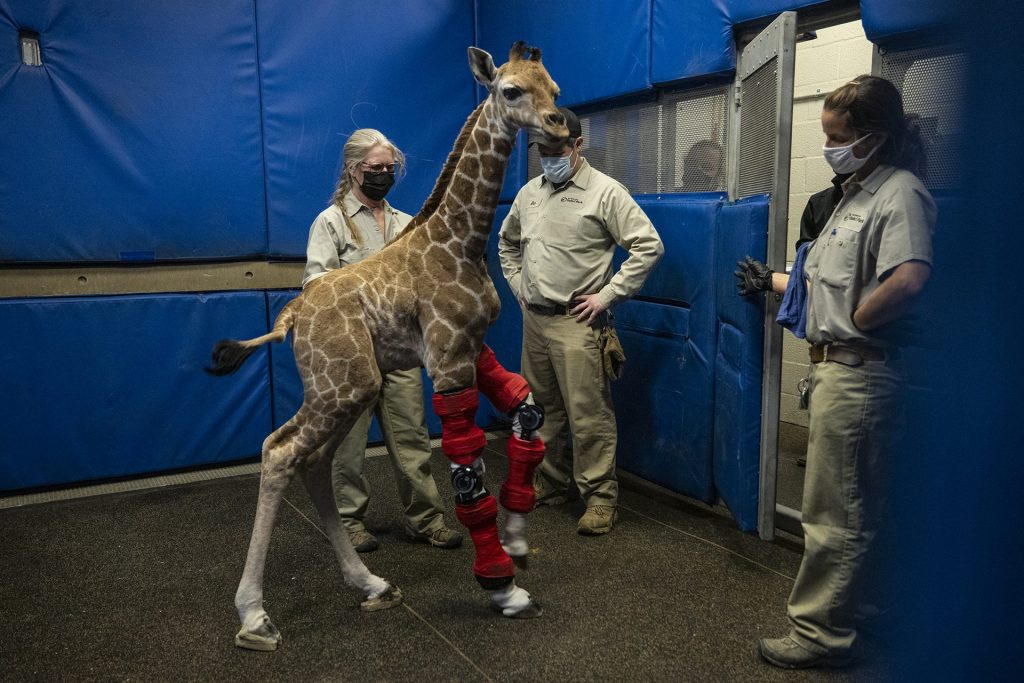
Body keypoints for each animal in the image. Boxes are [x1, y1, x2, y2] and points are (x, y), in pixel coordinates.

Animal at [206, 42, 568, 651]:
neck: (460, 241)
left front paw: (519, 541)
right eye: (511, 90)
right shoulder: (447, 358)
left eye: (555, 89)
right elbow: (468, 475)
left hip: (350, 389)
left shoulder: (472, 347)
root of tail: (291, 318)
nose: (562, 125)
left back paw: (370, 583)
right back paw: (254, 617)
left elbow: (527, 411)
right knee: (280, 450)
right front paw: (504, 588)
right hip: (344, 384)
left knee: (313, 461)